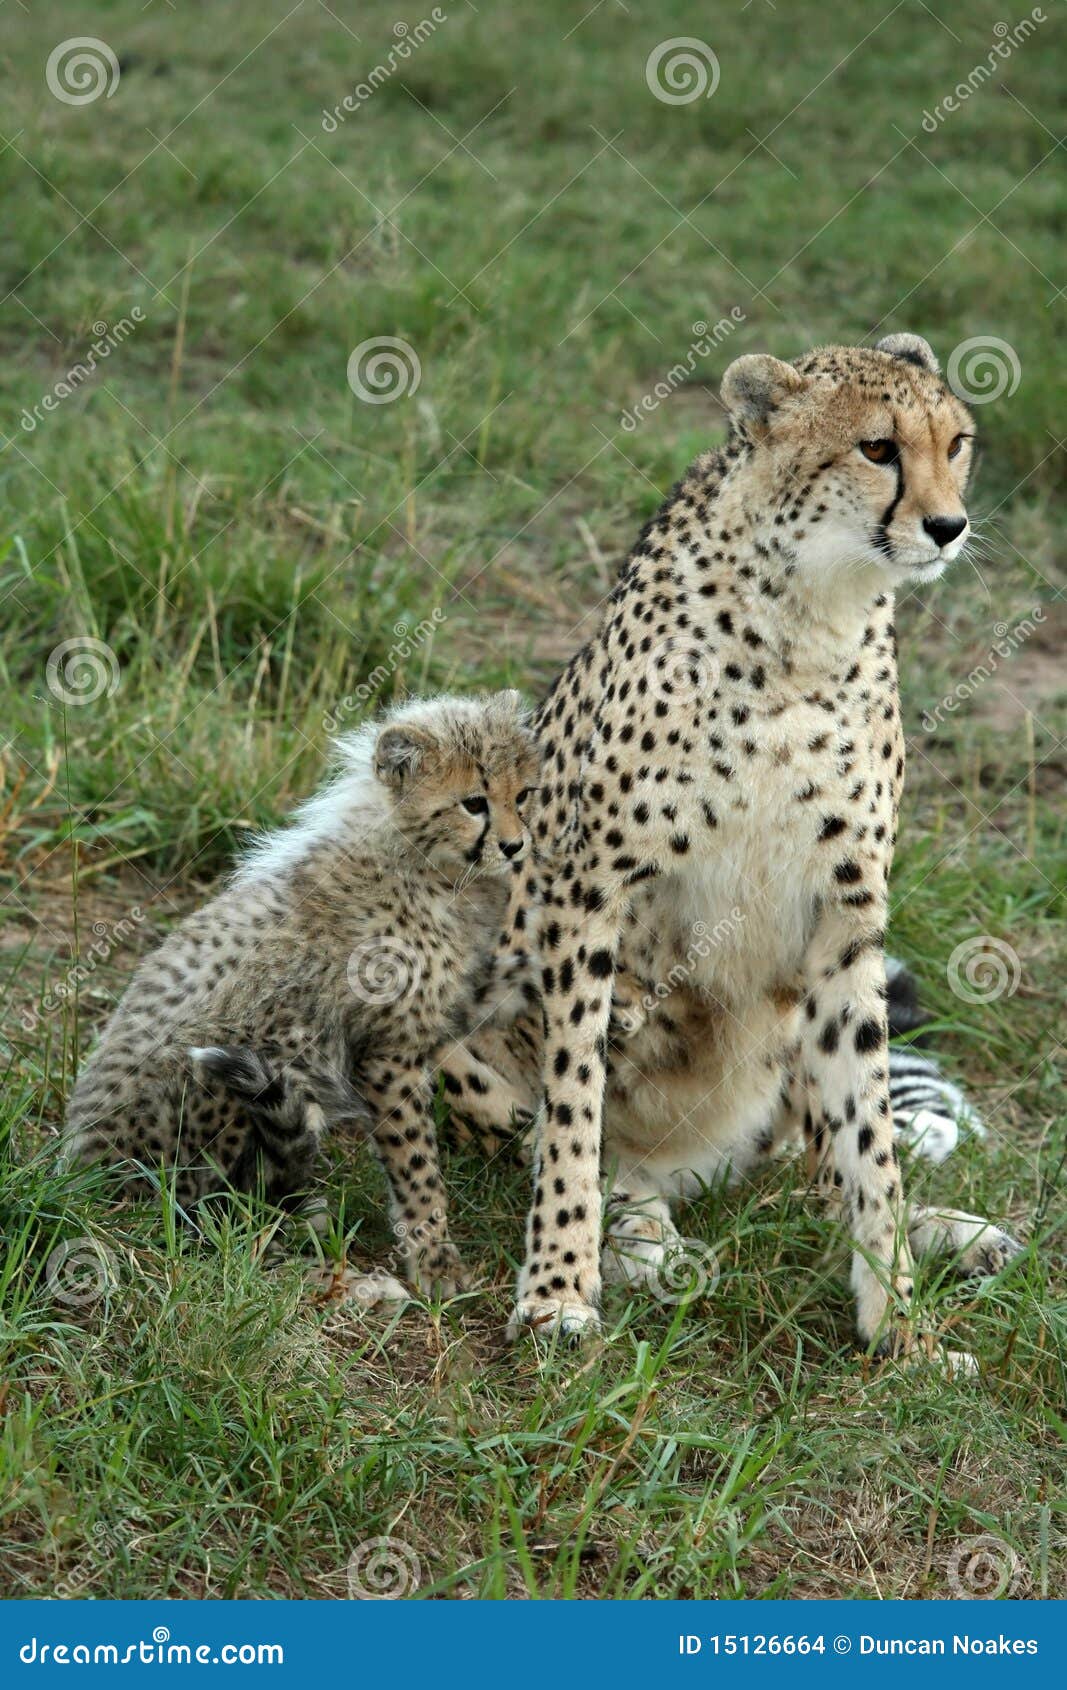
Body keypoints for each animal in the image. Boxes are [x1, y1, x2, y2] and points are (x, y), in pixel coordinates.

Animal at [62, 690, 541, 1296]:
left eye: (522, 795)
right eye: (474, 802)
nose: (515, 845)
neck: (420, 860)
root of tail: (84, 1168)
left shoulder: (449, 1003)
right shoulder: (390, 1053)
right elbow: (416, 1162)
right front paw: (433, 1258)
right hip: (231, 1066)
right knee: (211, 1217)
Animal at [447, 333, 1022, 1355]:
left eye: (955, 443)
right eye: (877, 448)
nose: (948, 526)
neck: (809, 618)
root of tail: (697, 1164)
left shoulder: (846, 917)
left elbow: (867, 1137)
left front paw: (899, 1324)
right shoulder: (587, 891)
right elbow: (572, 1107)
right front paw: (557, 1287)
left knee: (809, 1171)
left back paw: (948, 1232)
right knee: (595, 1151)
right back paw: (644, 1239)